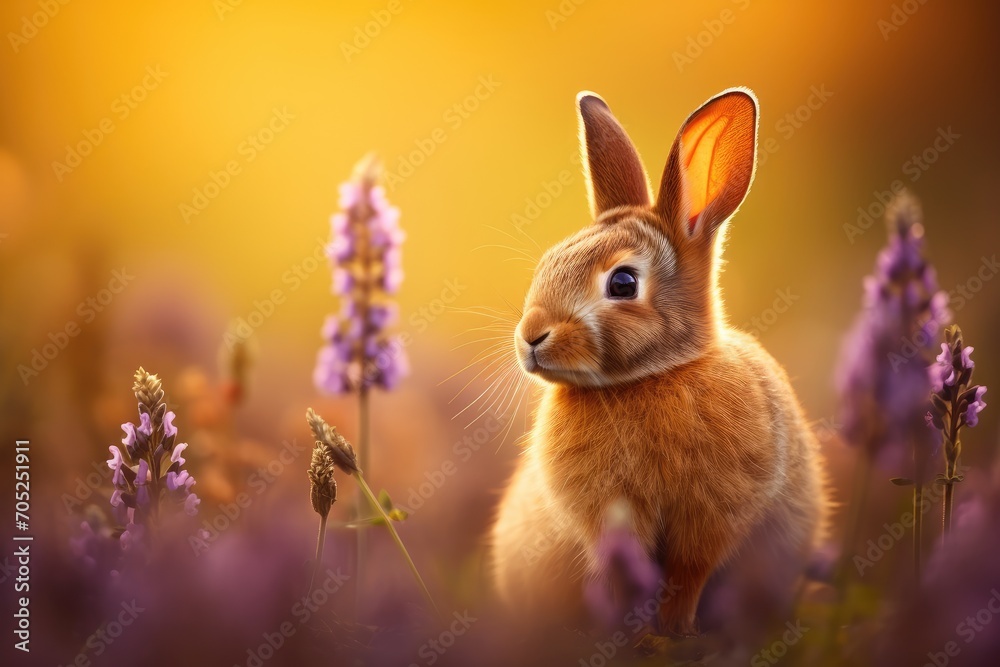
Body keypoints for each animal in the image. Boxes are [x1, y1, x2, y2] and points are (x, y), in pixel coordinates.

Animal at [490, 88, 827, 638]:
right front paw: (632, 629)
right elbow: (625, 572)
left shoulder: (714, 515)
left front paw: (674, 629)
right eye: (546, 264)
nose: (531, 337)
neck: (651, 378)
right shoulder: (609, 518)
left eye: (623, 283)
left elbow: (689, 571)